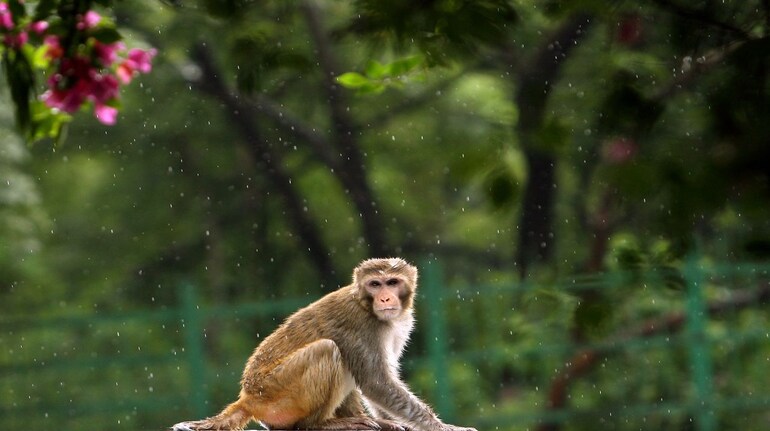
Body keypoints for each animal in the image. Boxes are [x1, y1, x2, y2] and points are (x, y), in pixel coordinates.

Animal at [172, 258, 477, 431]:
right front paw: (443, 427)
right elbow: (375, 381)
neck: (366, 305)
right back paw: (323, 423)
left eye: (392, 282)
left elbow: (376, 381)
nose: (385, 298)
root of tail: (247, 397)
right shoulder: (362, 325)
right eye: (375, 284)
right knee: (328, 350)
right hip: (275, 391)